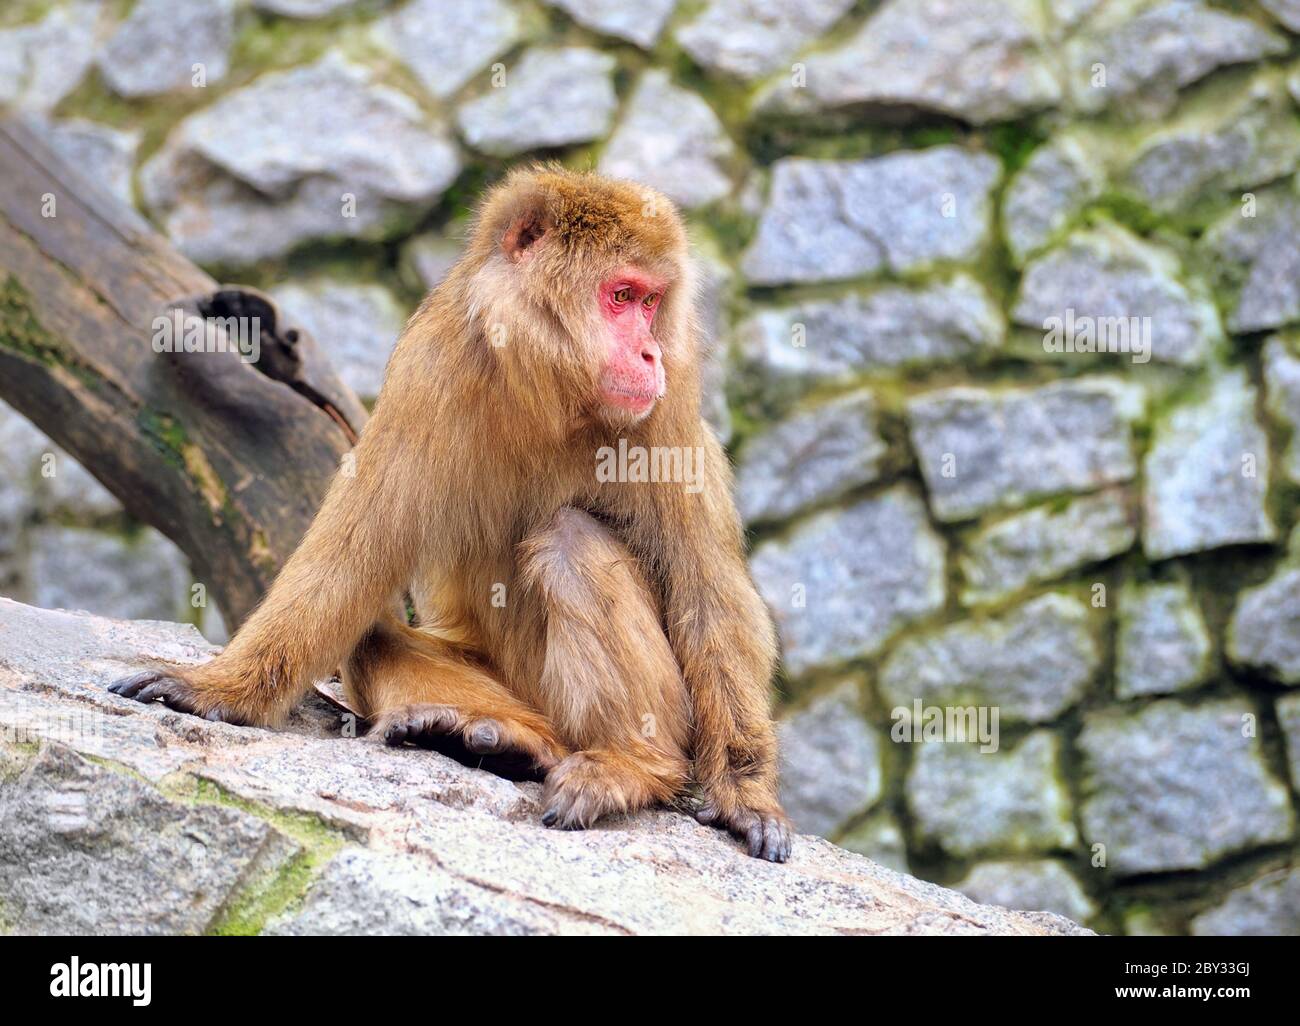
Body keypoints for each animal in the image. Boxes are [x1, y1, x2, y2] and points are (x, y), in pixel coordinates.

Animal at [108, 166, 792, 862]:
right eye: (621, 297)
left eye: (652, 304)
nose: (650, 352)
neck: (546, 385)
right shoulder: (429, 365)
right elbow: (355, 554)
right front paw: (224, 690)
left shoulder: (668, 406)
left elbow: (704, 588)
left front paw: (744, 792)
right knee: (372, 634)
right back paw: (505, 741)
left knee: (571, 541)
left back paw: (633, 763)